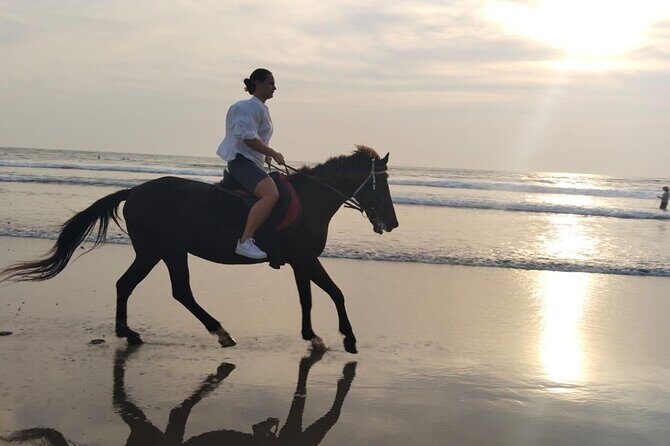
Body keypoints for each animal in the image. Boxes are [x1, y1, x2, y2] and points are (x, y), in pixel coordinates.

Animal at [0, 146, 398, 353]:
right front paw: (349, 338)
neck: (312, 199)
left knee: (126, 285)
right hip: (168, 250)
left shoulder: (301, 261)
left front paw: (313, 337)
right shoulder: (306, 259)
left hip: (152, 252)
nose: (392, 223)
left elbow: (308, 299)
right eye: (381, 185)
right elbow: (336, 292)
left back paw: (129, 332)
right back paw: (220, 332)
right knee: (180, 291)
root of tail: (134, 192)